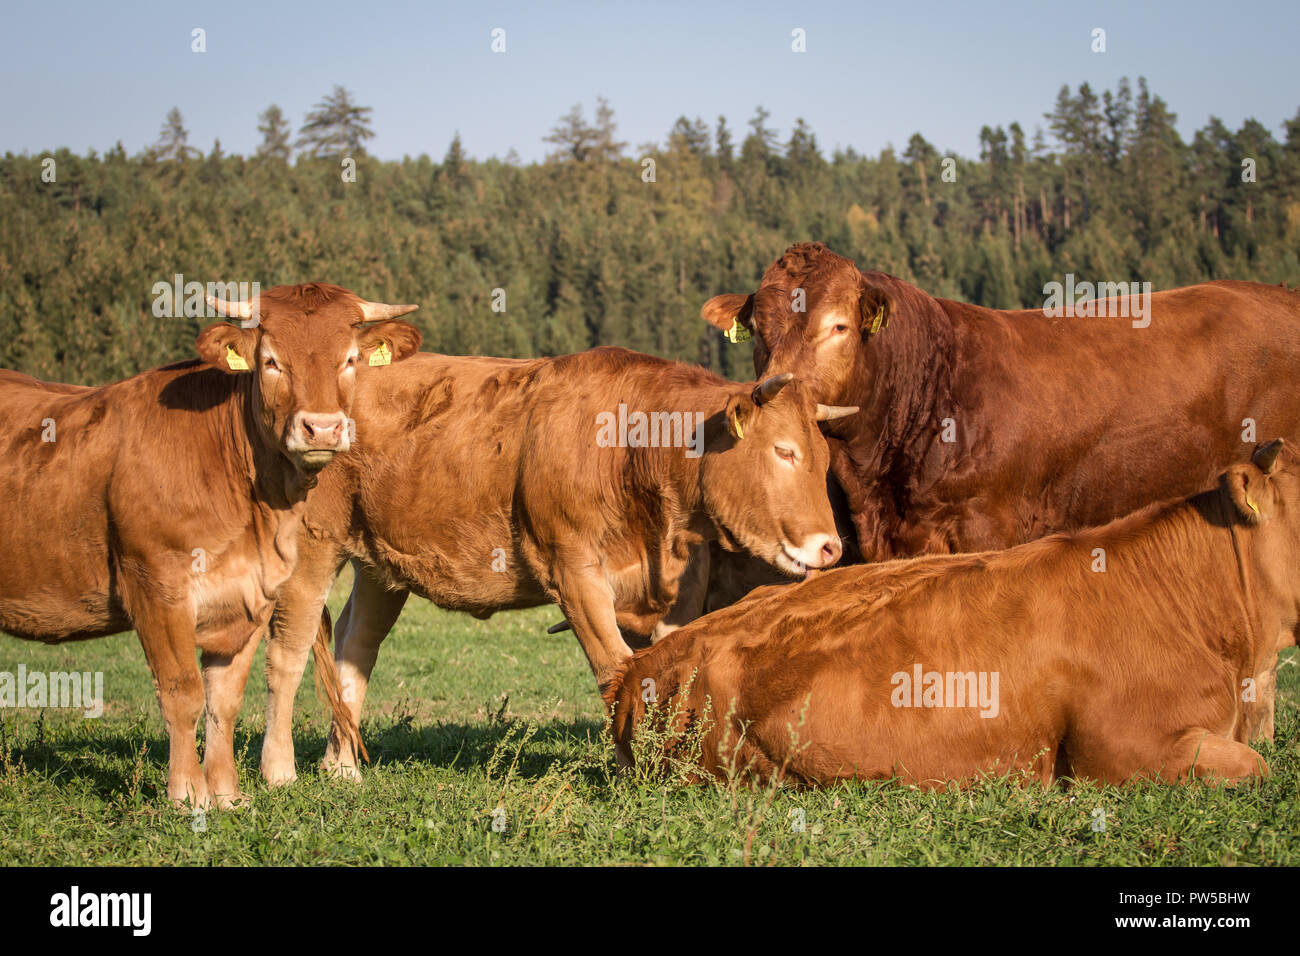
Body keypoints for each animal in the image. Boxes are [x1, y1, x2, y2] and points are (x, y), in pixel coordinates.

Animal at [0, 283, 421, 807]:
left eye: (348, 360)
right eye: (270, 361)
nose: (322, 428)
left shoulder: (254, 592)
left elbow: (225, 697)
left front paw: (227, 794)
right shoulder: (156, 585)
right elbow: (183, 693)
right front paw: (187, 795)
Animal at [254, 346, 856, 784]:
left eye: (823, 457)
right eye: (783, 451)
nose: (831, 547)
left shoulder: (679, 594)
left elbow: (665, 672)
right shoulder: (573, 571)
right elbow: (615, 668)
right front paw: (630, 771)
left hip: (381, 565)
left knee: (356, 646)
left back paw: (342, 767)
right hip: (312, 544)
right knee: (289, 648)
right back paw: (279, 771)